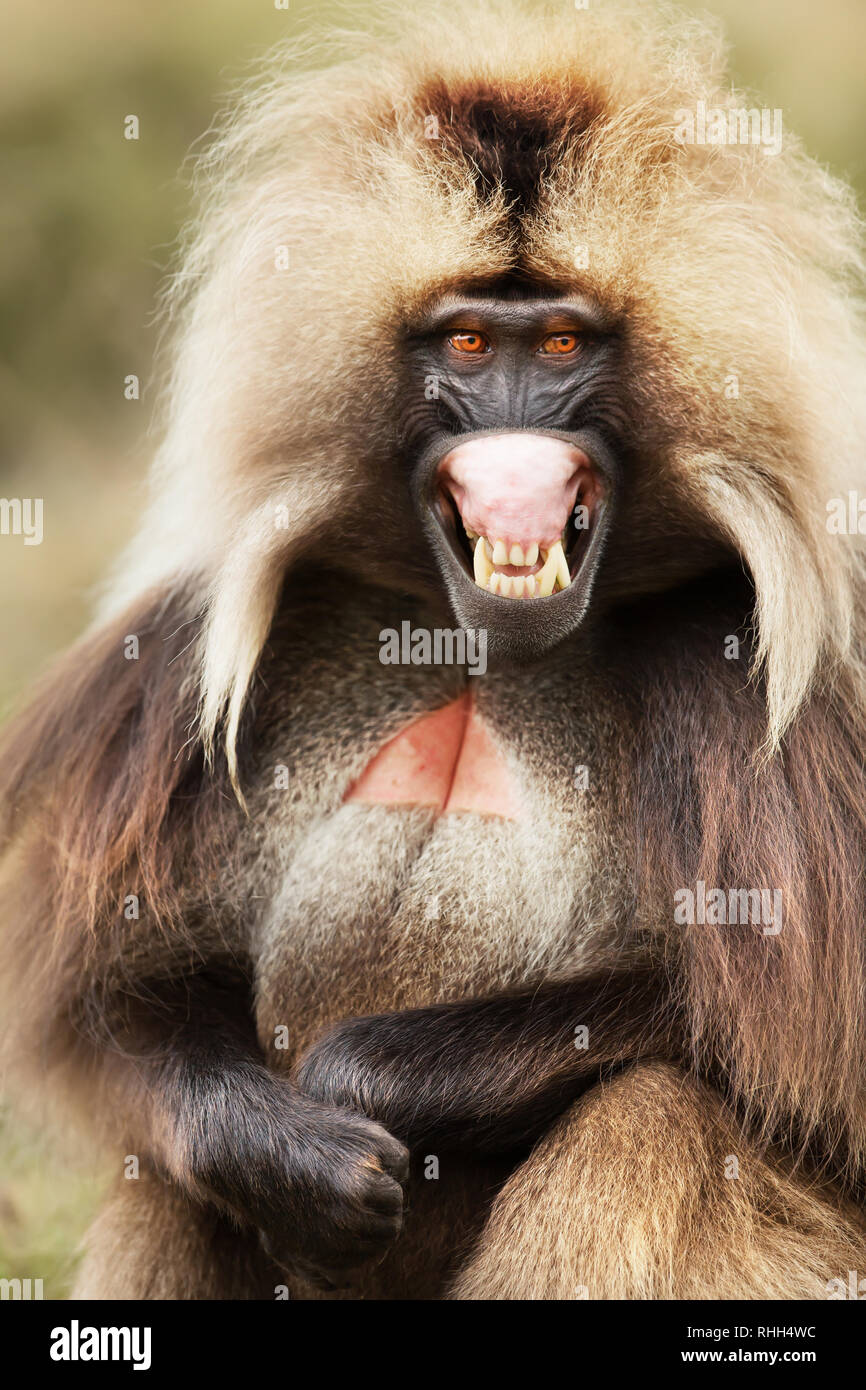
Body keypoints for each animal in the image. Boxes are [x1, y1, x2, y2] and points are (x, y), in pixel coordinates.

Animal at [2, 0, 866, 1300]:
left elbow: (796, 1053)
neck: (475, 649)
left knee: (652, 1116)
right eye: (465, 344)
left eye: (557, 346)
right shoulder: (182, 662)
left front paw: (369, 1079)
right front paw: (286, 1150)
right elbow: (119, 994)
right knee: (167, 1174)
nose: (512, 427)